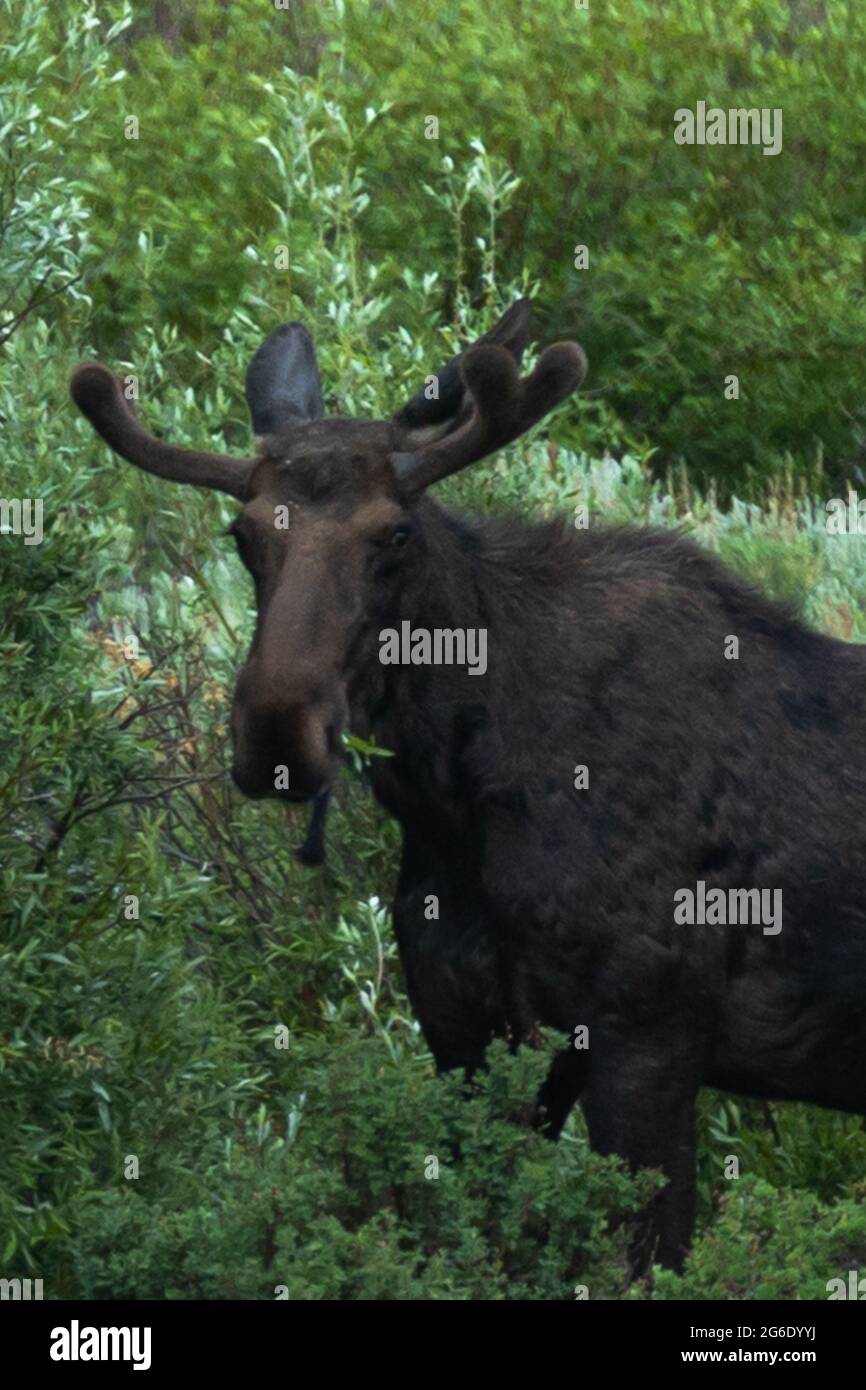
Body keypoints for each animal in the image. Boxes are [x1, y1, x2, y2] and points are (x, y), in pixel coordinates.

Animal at [70, 298, 866, 1274]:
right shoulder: (468, 1036)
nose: (277, 731)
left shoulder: (648, 1032)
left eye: (396, 533)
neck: (455, 805)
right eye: (244, 534)